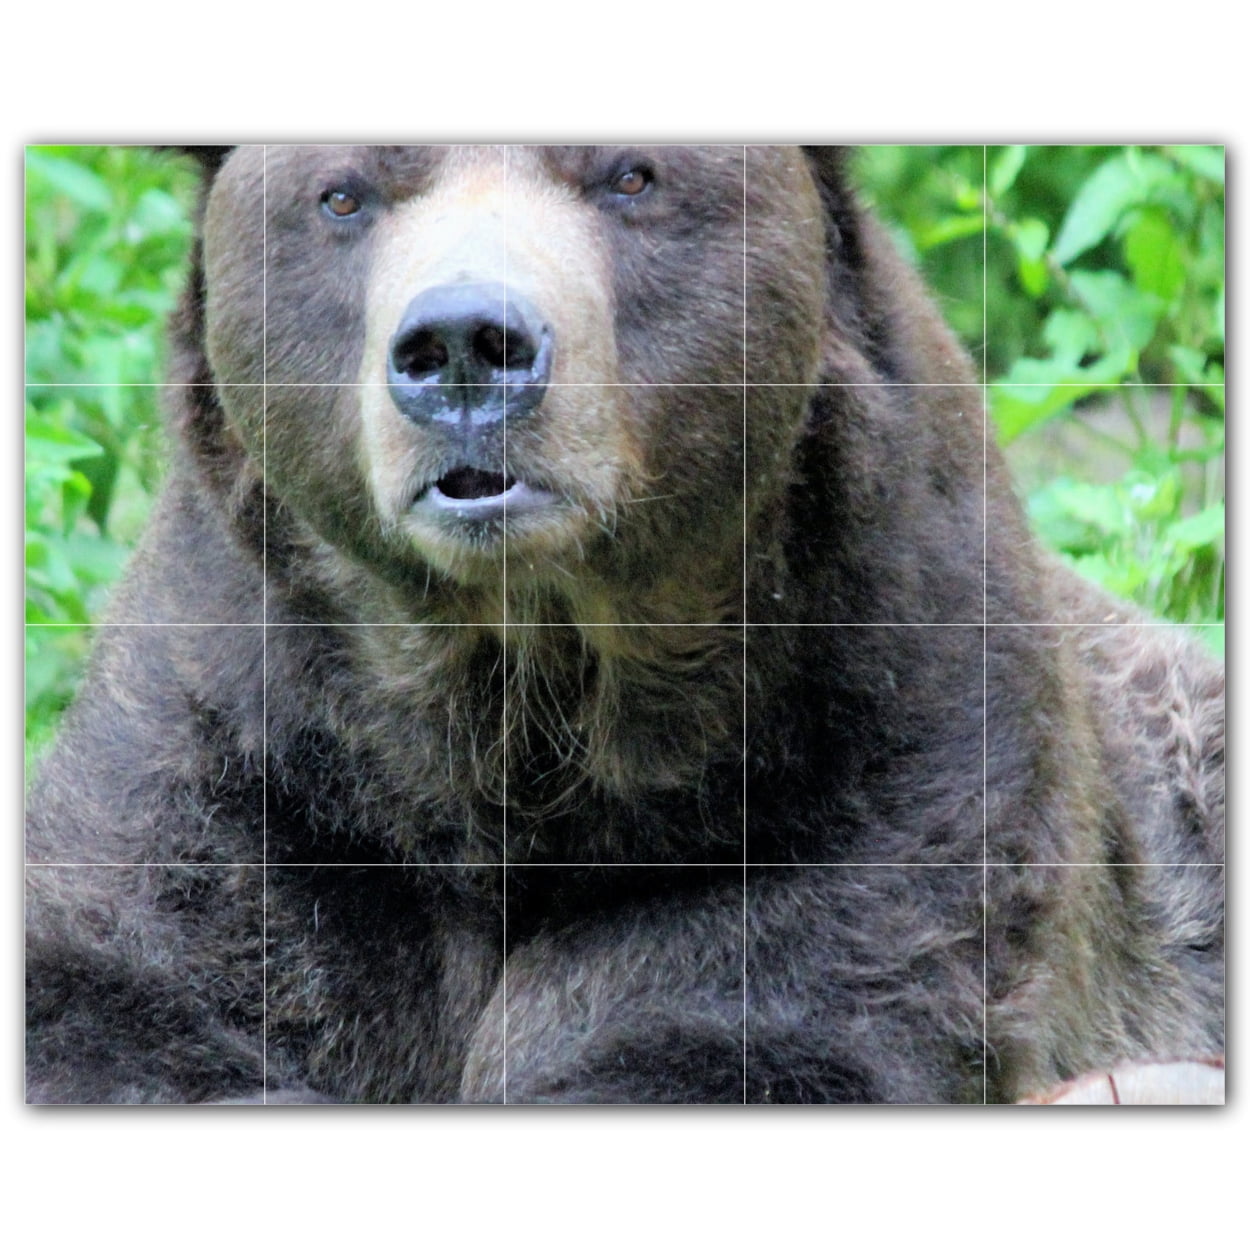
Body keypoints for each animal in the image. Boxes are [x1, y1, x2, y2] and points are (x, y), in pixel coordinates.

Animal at [25, 145, 1223, 1104]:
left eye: (630, 177)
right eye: (343, 194)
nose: (465, 343)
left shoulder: (869, 743)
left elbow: (749, 1020)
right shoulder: (253, 737)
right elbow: (126, 982)